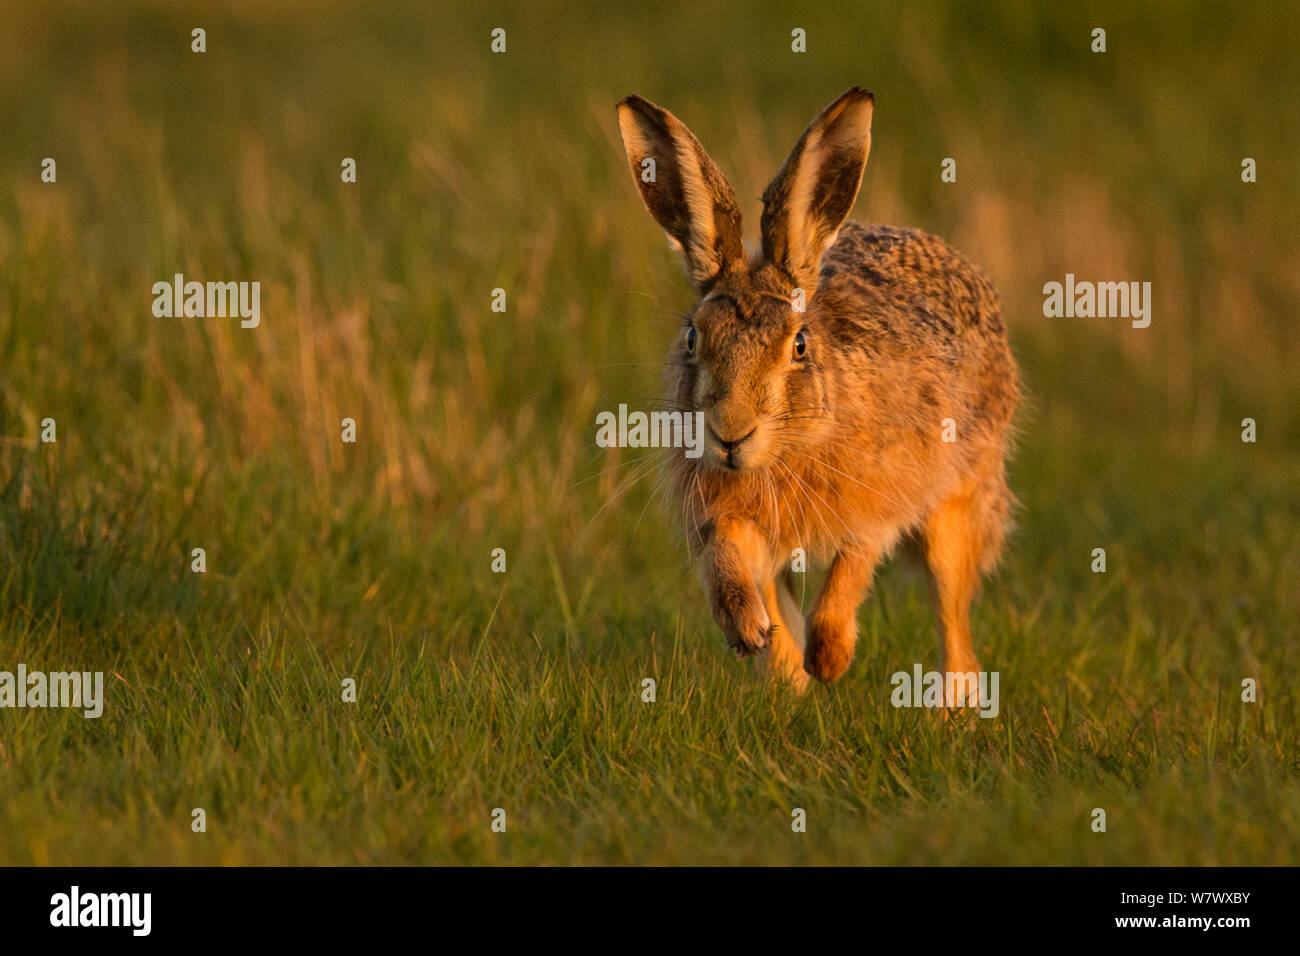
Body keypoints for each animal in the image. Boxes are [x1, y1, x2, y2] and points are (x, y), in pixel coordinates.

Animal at [616, 87, 1020, 697]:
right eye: (692, 338)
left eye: (799, 346)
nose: (730, 433)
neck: (785, 449)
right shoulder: (722, 515)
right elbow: (726, 556)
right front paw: (747, 630)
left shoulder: (880, 501)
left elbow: (854, 564)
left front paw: (829, 656)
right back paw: (784, 681)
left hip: (960, 505)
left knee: (954, 622)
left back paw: (949, 711)